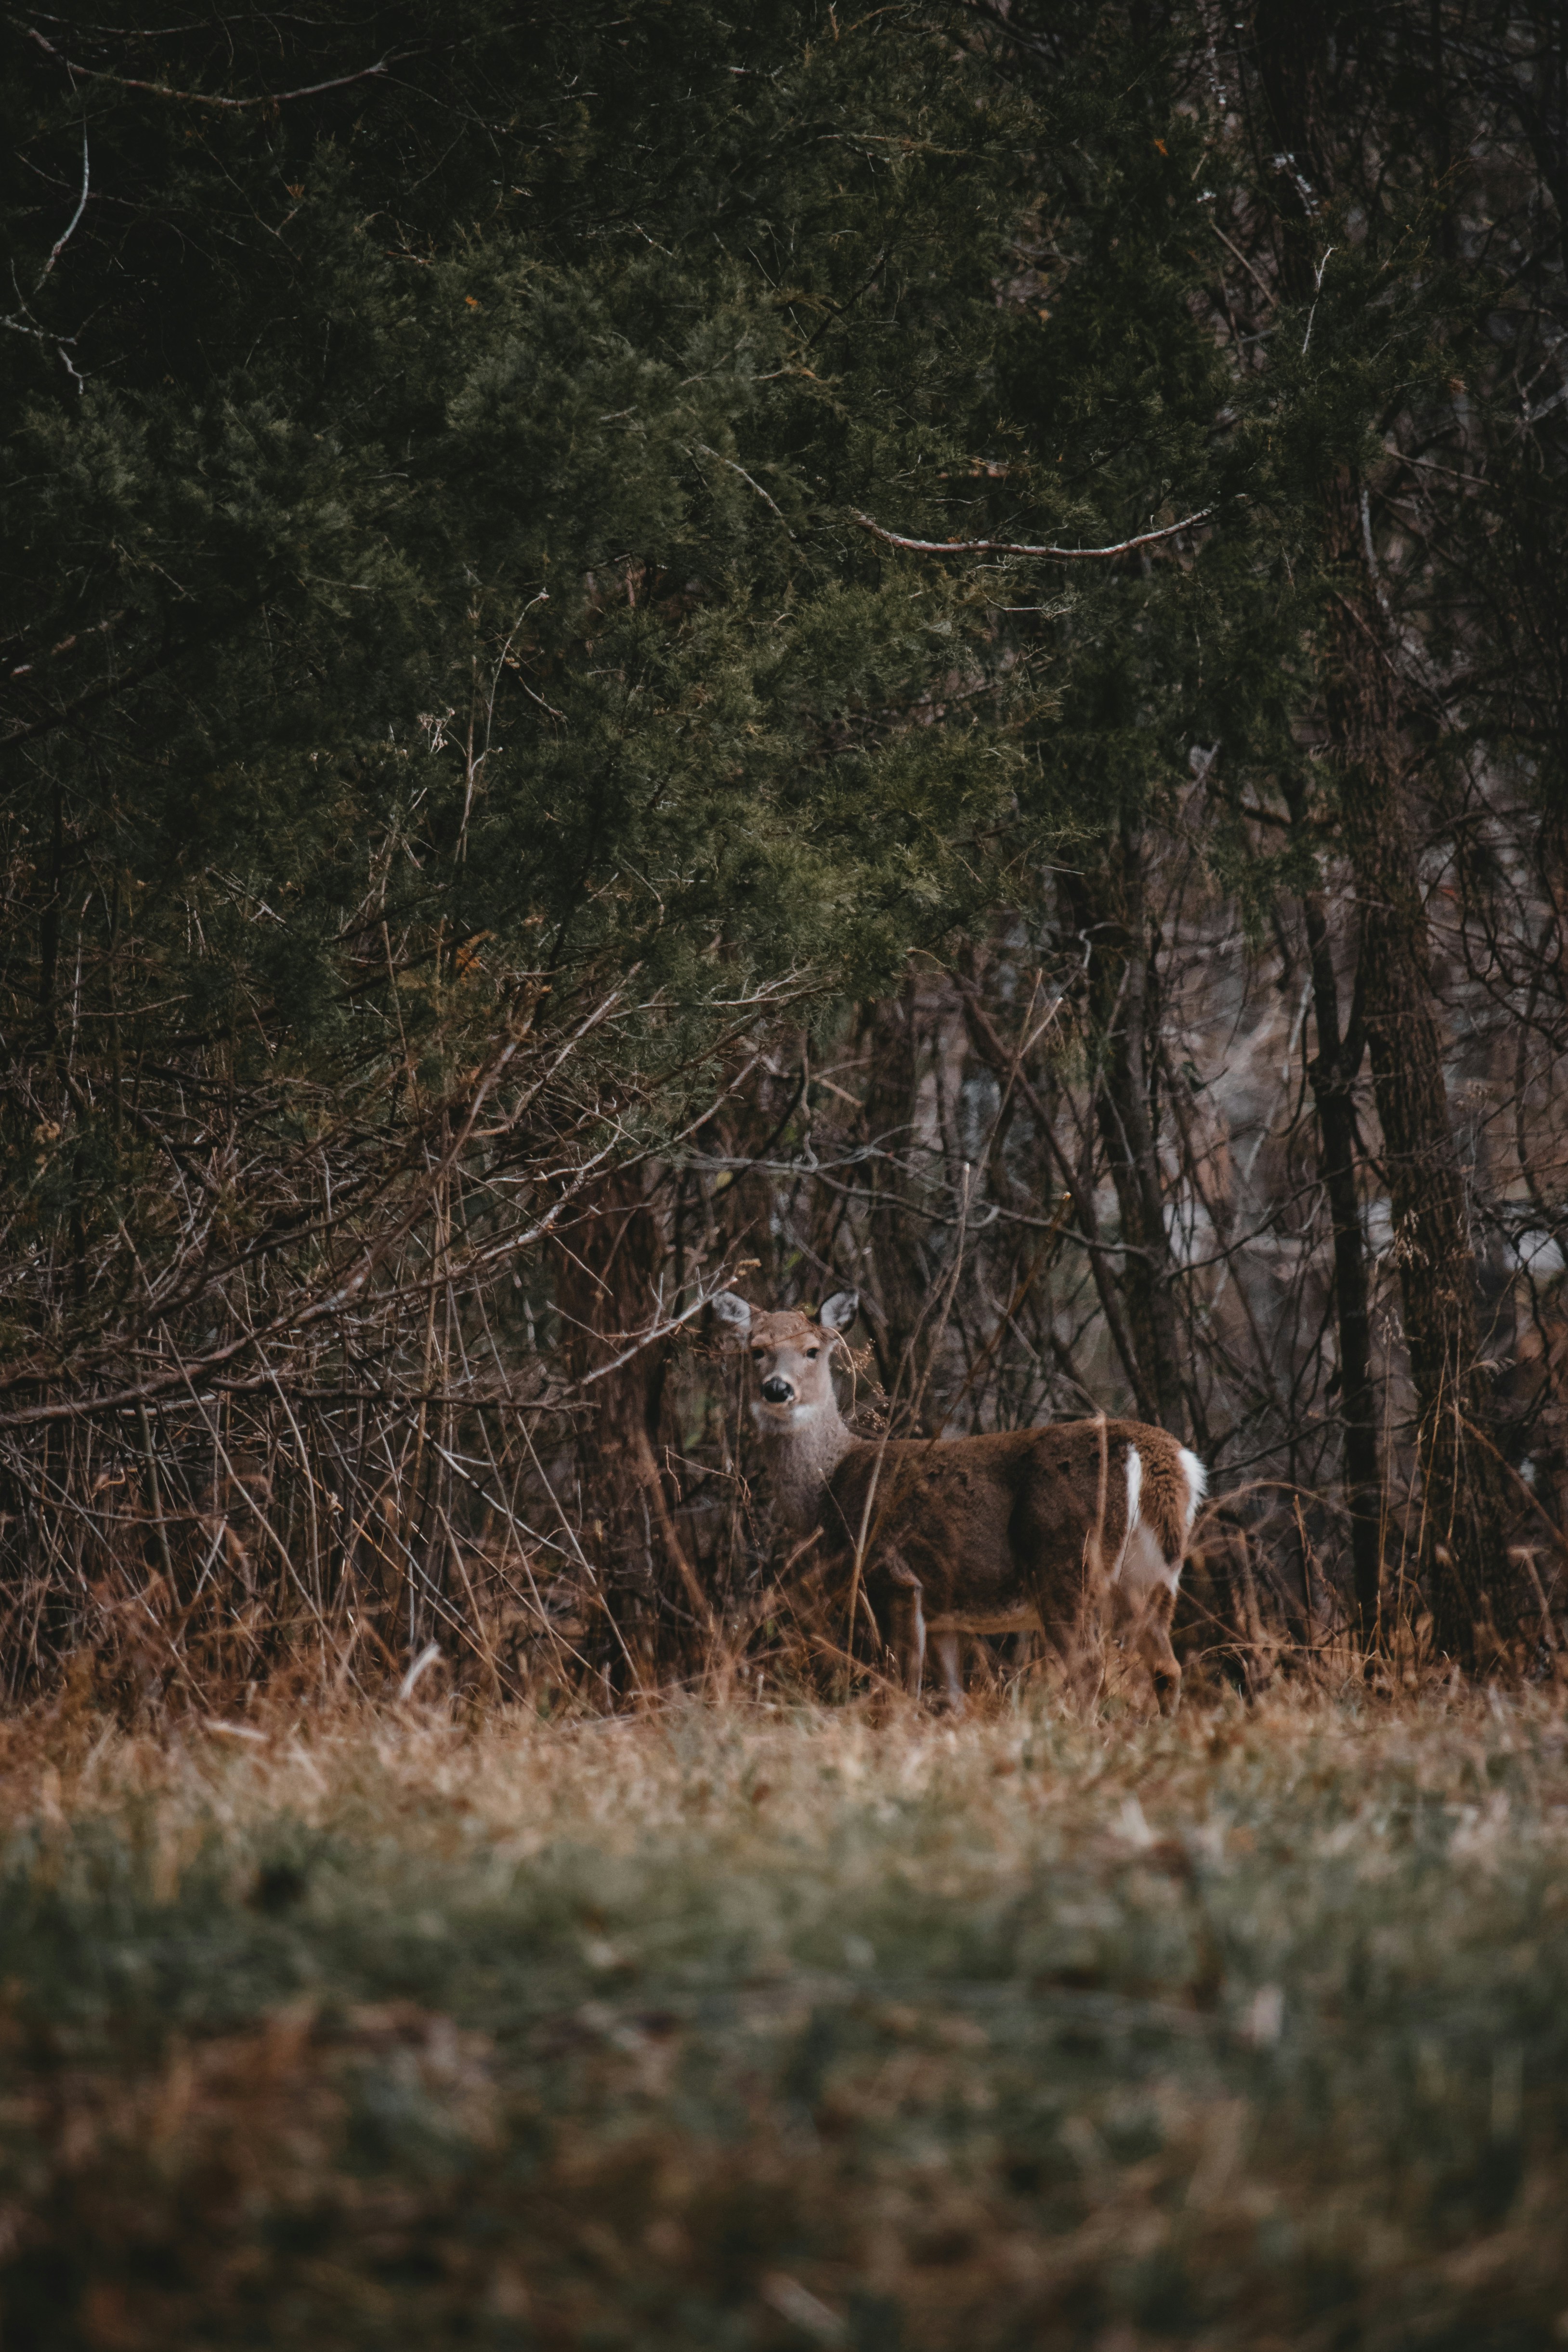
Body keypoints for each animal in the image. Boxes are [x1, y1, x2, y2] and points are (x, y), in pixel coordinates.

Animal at [714, 1287, 1205, 1714]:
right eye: (757, 1349)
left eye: (812, 1350)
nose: (777, 1389)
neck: (831, 1486)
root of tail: (1162, 1455)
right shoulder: (944, 1614)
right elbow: (952, 1698)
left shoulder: (894, 1576)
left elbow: (904, 1688)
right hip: (1153, 1576)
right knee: (1167, 1667)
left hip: (1069, 1563)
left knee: (1090, 1668)